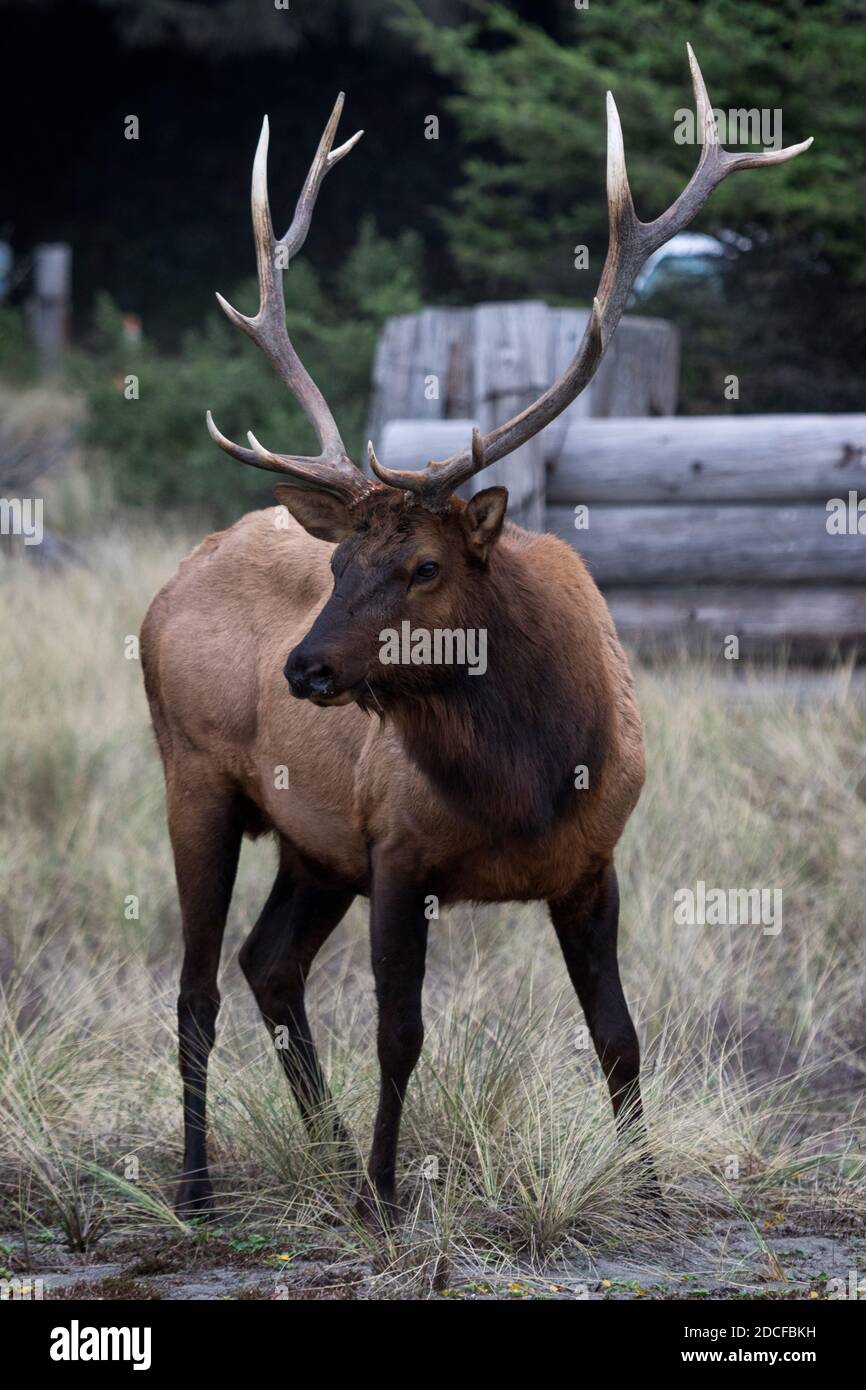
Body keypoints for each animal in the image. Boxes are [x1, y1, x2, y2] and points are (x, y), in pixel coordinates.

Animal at [141, 46, 810, 1222]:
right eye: (338, 566)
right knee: (195, 987)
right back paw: (201, 1187)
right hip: (197, 778)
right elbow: (400, 1034)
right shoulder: (397, 849)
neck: (526, 773)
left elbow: (619, 1036)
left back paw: (318, 1153)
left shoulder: (594, 860)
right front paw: (382, 1192)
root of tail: (166, 587)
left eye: (423, 566)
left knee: (267, 964)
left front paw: (645, 1188)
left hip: (312, 840)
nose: (304, 665)